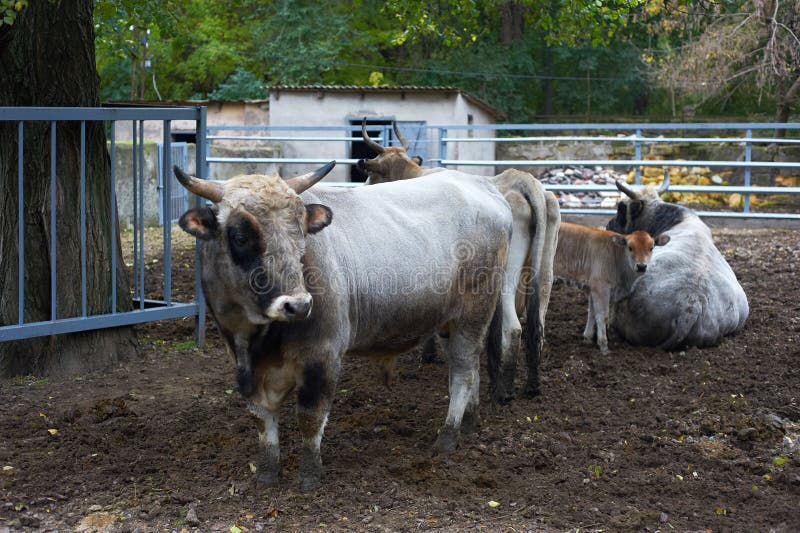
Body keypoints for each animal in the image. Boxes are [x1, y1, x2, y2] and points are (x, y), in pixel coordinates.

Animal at [173, 162, 513, 491]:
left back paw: (448, 436)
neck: (256, 338)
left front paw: (310, 475)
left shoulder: (322, 357)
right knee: (472, 368)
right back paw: (469, 423)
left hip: (474, 313)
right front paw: (266, 475)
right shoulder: (246, 368)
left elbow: (310, 416)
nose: (298, 305)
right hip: (449, 322)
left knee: (462, 372)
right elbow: (262, 420)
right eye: (241, 236)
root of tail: (482, 186)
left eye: (302, 234)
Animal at [357, 120, 560, 401]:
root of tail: (524, 180)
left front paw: (429, 354)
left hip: (505, 277)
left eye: (373, 172)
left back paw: (504, 391)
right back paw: (533, 385)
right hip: (545, 270)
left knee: (513, 328)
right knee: (536, 326)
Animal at [554, 222, 670, 353]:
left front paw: (587, 338)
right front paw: (604, 346)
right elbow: (603, 316)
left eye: (651, 248)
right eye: (630, 247)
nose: (641, 266)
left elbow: (592, 313)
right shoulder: (601, 286)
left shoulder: (593, 288)